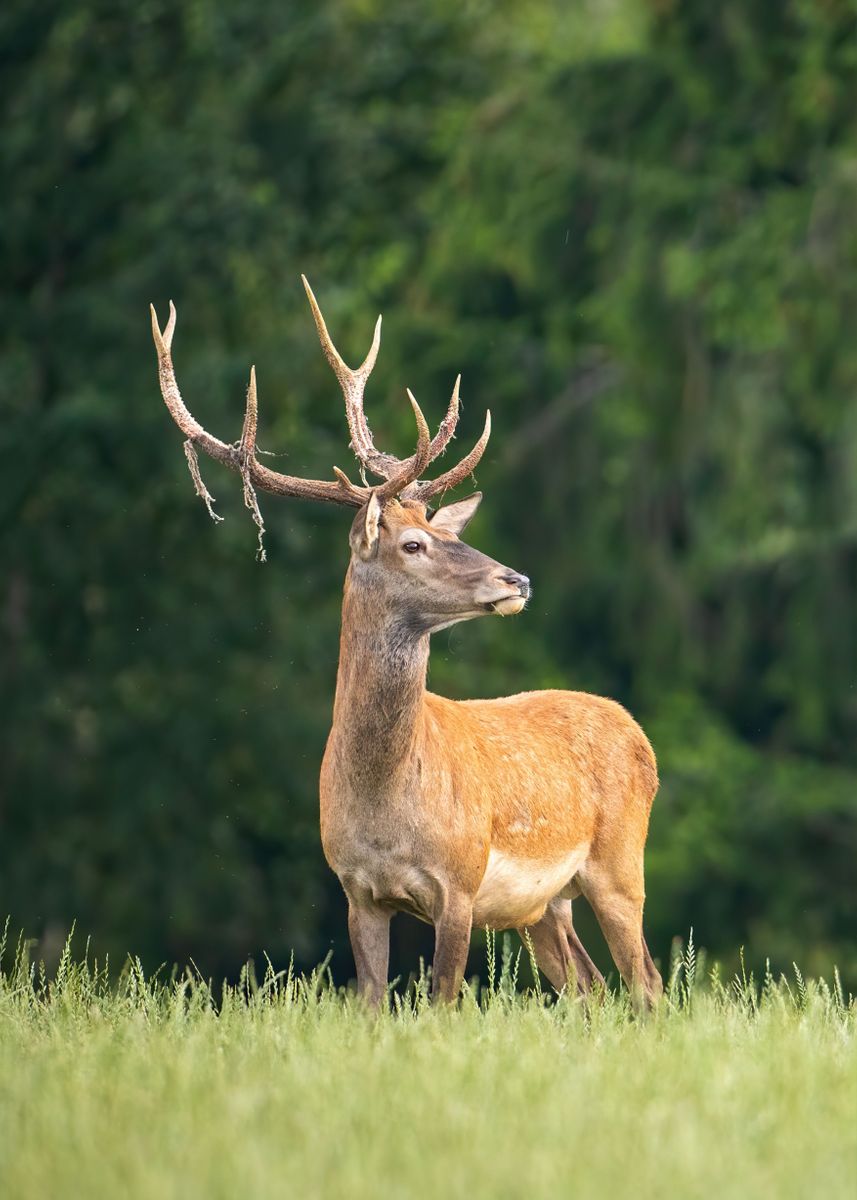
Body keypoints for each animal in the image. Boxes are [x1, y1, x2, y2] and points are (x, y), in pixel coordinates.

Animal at [150, 278, 663, 1008]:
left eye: (447, 531)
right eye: (415, 543)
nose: (516, 579)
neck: (385, 803)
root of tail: (637, 731)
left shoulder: (460, 883)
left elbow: (443, 1000)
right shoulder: (356, 890)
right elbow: (371, 1003)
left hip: (619, 863)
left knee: (647, 984)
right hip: (545, 905)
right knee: (589, 988)